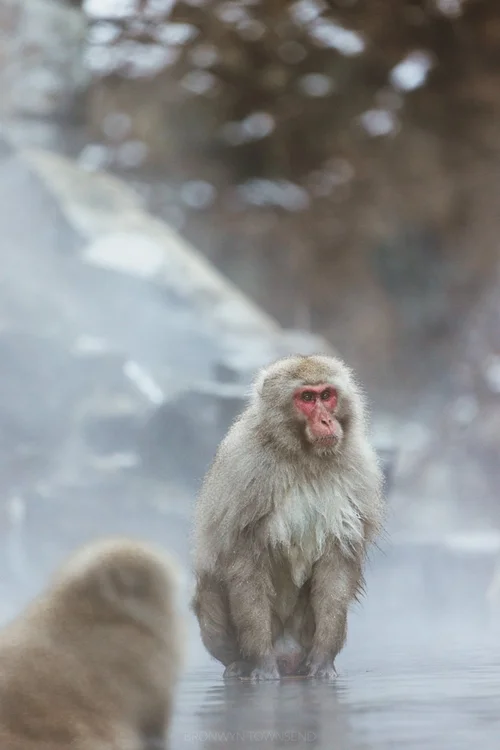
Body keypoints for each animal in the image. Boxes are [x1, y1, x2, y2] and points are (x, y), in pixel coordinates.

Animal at [191, 354, 384, 682]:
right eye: (306, 398)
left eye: (327, 395)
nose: (326, 420)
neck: (303, 457)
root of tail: (288, 652)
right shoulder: (244, 468)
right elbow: (244, 563)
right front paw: (262, 663)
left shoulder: (358, 467)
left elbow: (337, 563)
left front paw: (323, 661)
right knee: (209, 587)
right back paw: (239, 663)